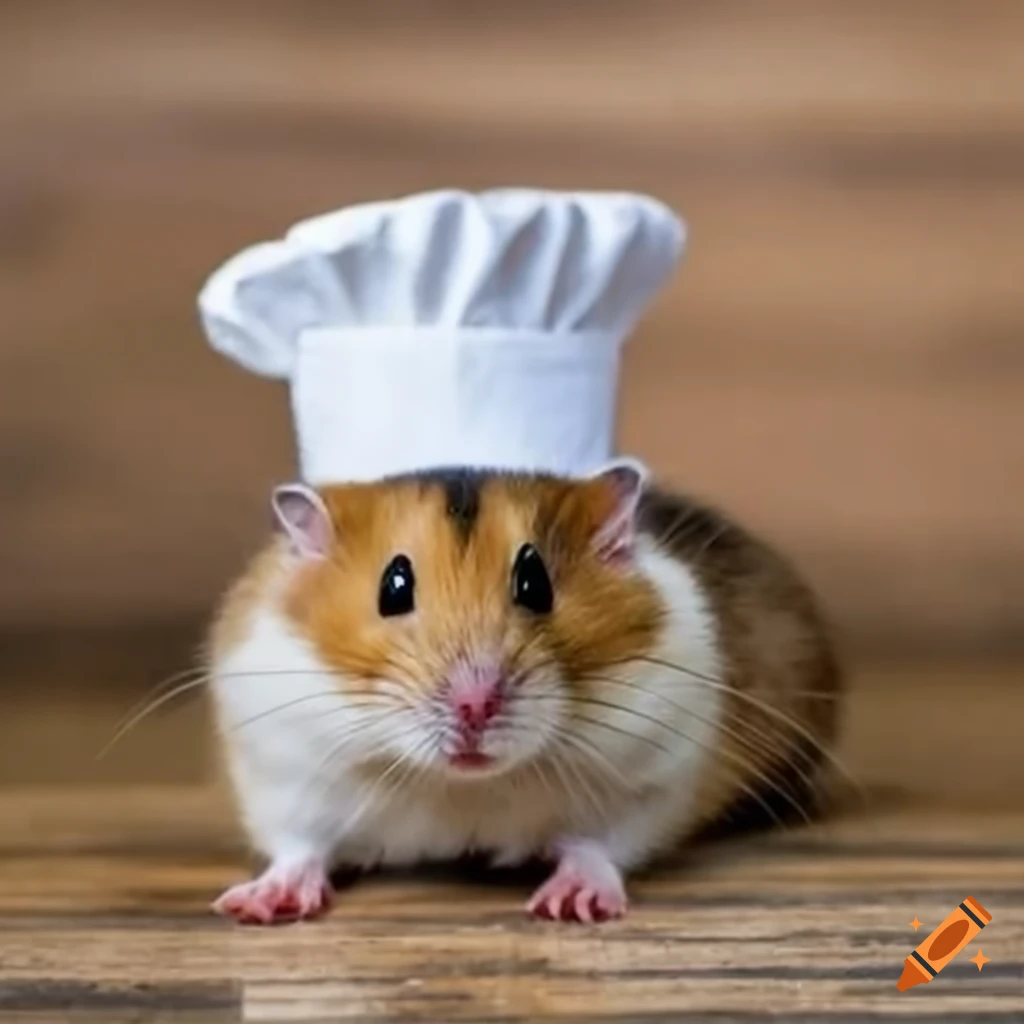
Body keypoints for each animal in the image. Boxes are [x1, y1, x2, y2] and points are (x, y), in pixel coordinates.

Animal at [207, 460, 842, 925]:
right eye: (394, 585)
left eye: (535, 583)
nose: (475, 706)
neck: (461, 786)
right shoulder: (286, 779)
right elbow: (300, 846)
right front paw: (252, 907)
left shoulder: (647, 785)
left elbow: (598, 845)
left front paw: (572, 906)